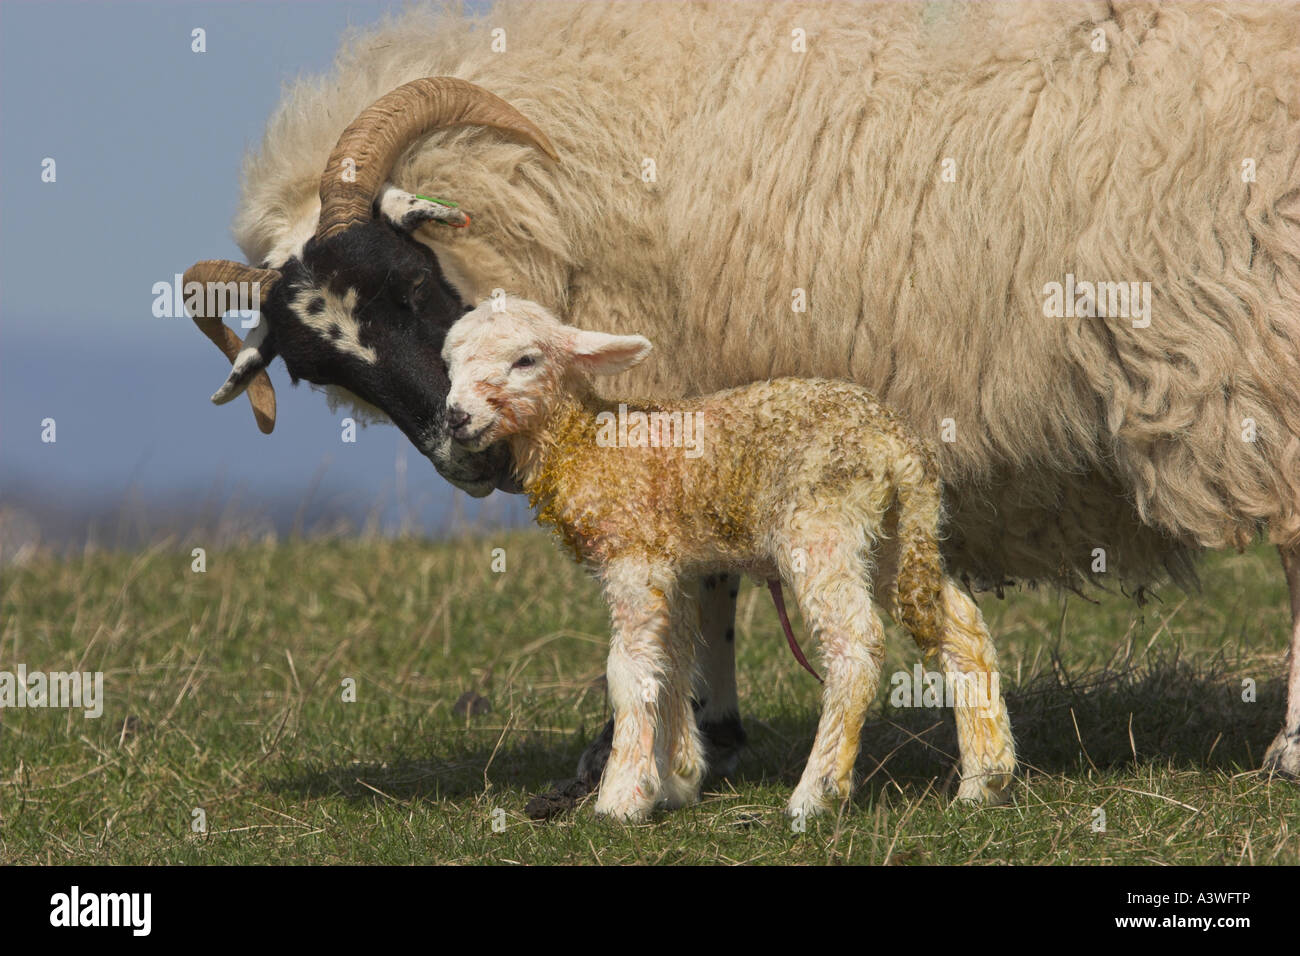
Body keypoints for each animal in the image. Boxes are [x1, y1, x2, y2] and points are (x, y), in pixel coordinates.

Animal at [440, 295, 1016, 819]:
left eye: (526, 360)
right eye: (449, 364)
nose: (456, 417)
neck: (592, 445)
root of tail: (901, 447)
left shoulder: (633, 555)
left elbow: (629, 670)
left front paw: (621, 798)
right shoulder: (672, 565)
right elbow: (672, 664)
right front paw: (676, 778)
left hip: (820, 522)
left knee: (854, 645)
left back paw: (816, 794)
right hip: (895, 531)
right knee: (960, 628)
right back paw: (983, 782)